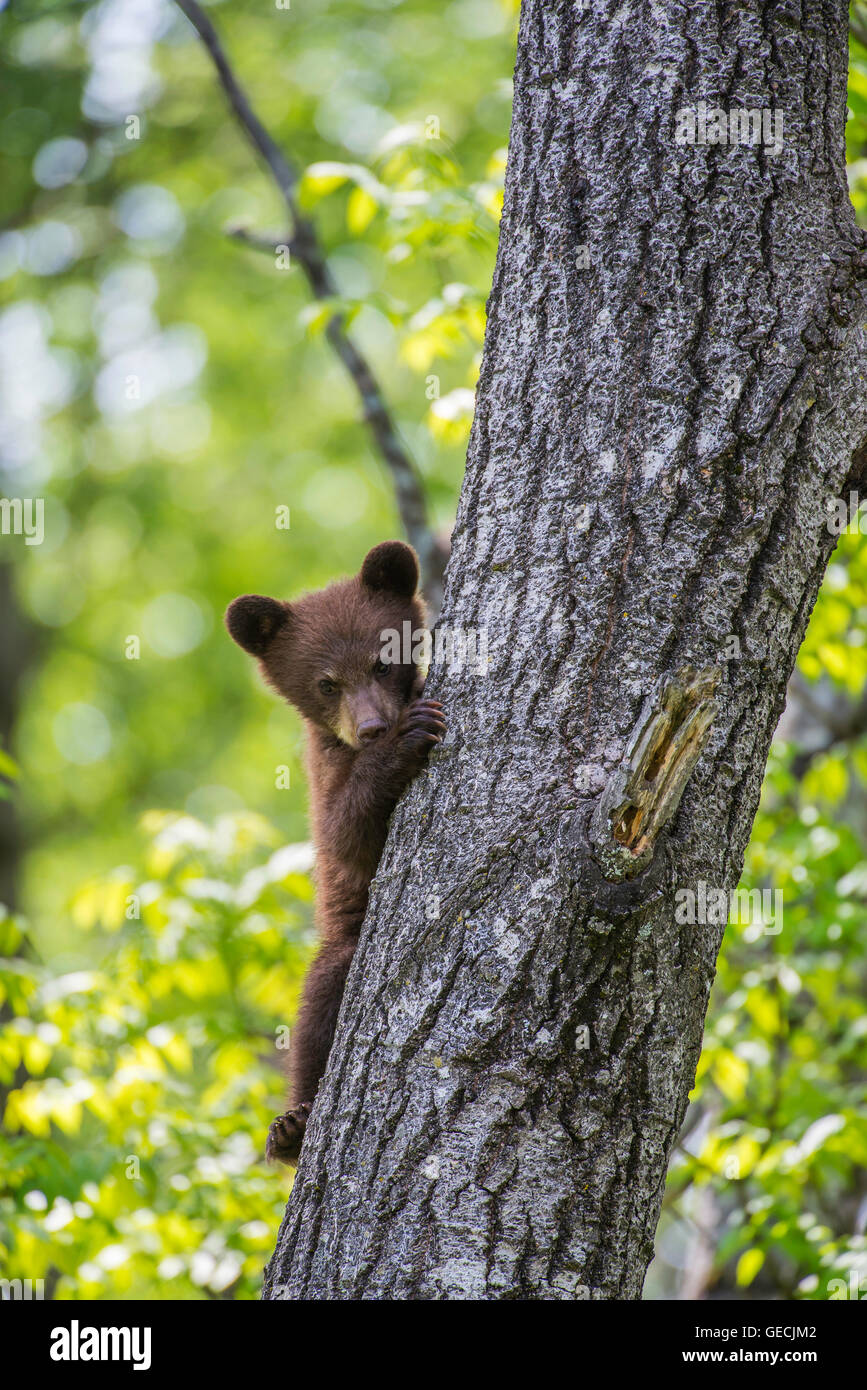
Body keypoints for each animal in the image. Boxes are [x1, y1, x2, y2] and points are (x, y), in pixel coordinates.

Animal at [225, 541, 446, 1164]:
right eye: (326, 683)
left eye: (382, 662)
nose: (372, 727)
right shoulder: (323, 768)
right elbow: (344, 834)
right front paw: (402, 742)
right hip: (342, 942)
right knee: (319, 1002)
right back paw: (292, 1129)